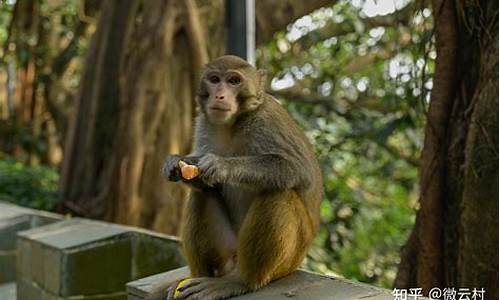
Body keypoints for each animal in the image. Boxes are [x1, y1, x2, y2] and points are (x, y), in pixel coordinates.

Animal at [154, 54, 322, 300]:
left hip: (287, 261)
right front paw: (177, 163)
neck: (232, 124)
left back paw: (241, 281)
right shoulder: (203, 124)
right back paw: (200, 276)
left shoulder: (267, 122)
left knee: (278, 192)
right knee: (201, 193)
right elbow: (202, 180)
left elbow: (295, 168)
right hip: (226, 249)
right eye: (214, 79)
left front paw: (221, 166)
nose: (220, 95)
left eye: (234, 81)